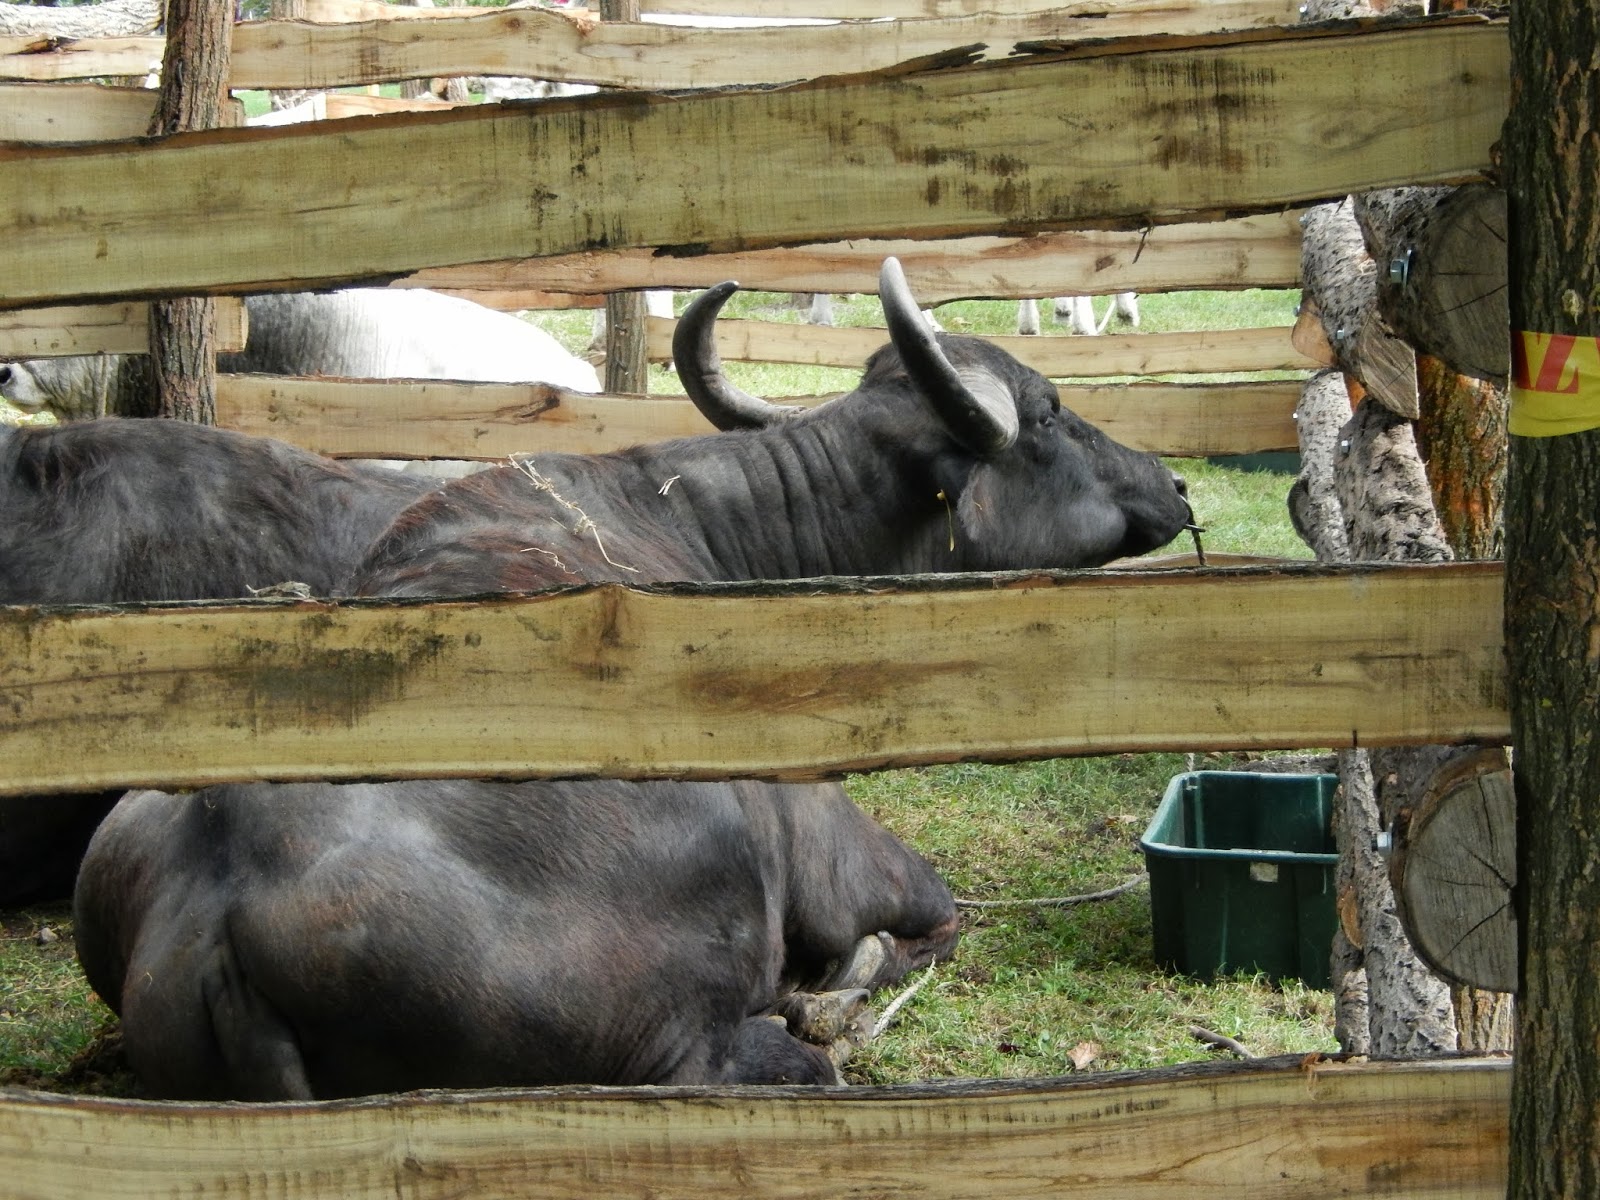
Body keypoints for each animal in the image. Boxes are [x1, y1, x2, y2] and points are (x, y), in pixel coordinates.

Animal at [73, 259, 1196, 1098]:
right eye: (1049, 414)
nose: (1177, 484)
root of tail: (221, 908)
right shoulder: (847, 859)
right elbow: (942, 918)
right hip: (686, 1033)